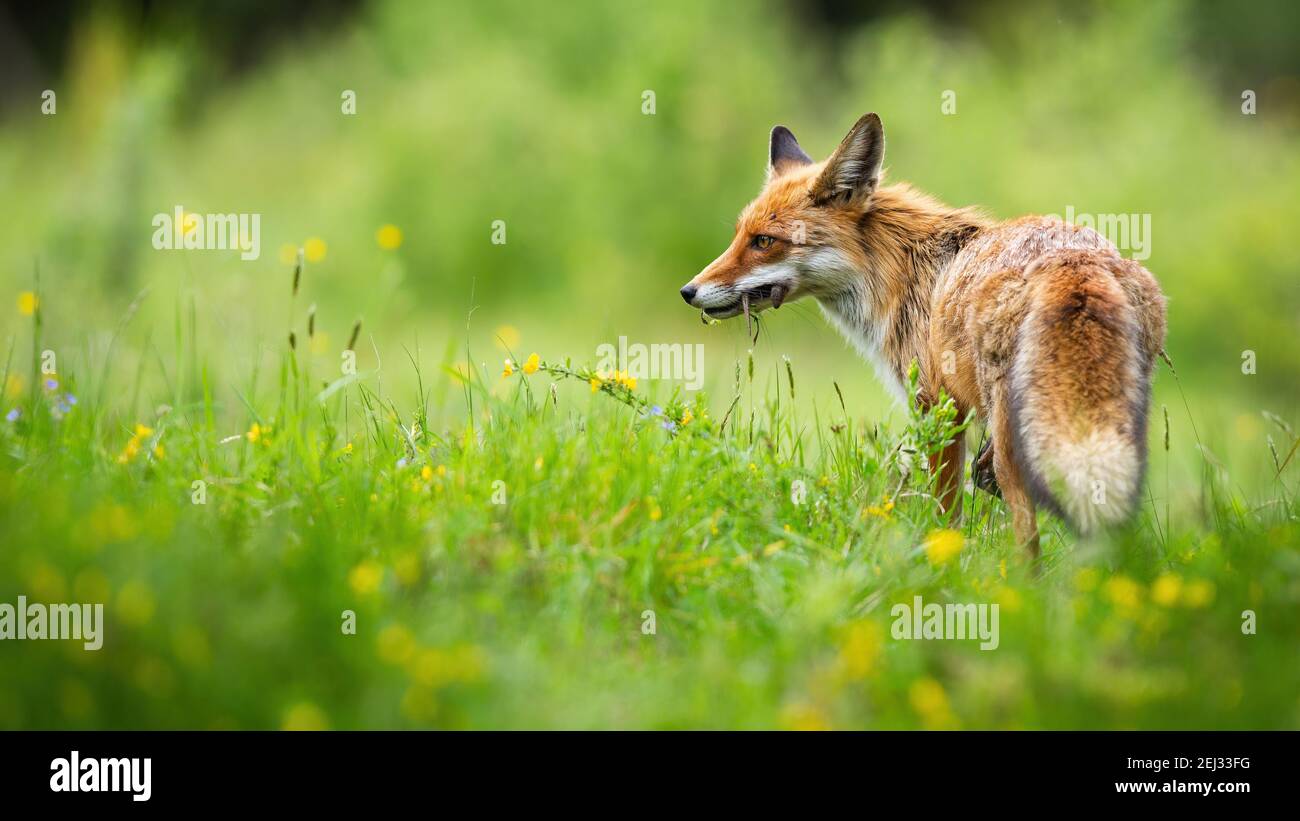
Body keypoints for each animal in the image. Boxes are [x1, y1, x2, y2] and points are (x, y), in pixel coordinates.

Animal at [680, 113, 1167, 556]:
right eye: (739, 235)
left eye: (764, 241)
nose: (689, 291)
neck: (905, 272)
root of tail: (1076, 264)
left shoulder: (939, 408)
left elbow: (945, 514)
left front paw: (943, 564)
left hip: (1017, 447)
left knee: (1027, 539)